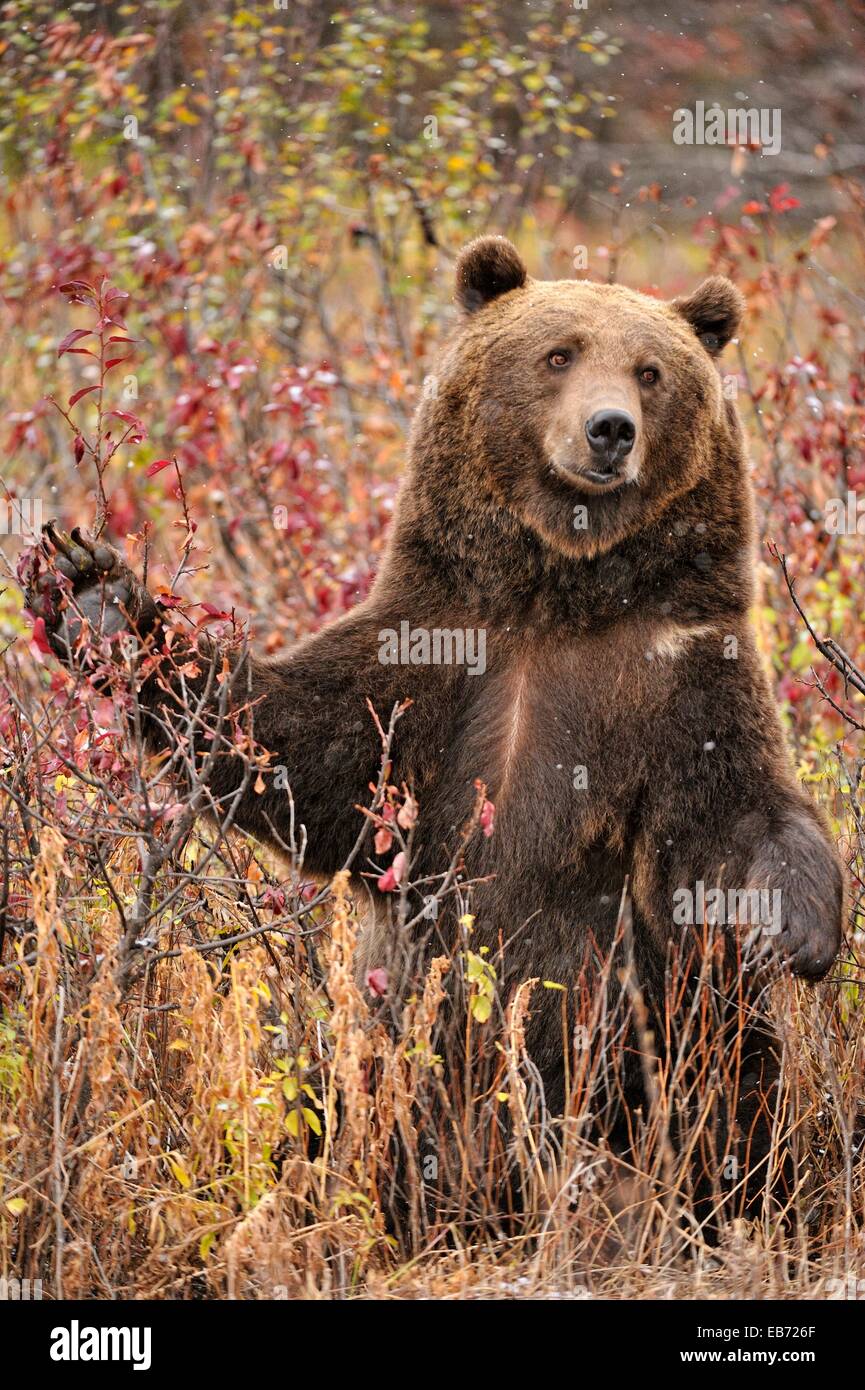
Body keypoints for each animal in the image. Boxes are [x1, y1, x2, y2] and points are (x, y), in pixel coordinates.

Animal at [26, 235, 844, 1227]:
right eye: (559, 353)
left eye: (651, 372)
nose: (610, 428)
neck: (558, 594)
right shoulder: (429, 663)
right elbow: (293, 751)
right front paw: (97, 595)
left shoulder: (678, 678)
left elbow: (735, 817)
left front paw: (794, 927)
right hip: (385, 1047)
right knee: (327, 1109)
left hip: (663, 1025)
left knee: (732, 1099)